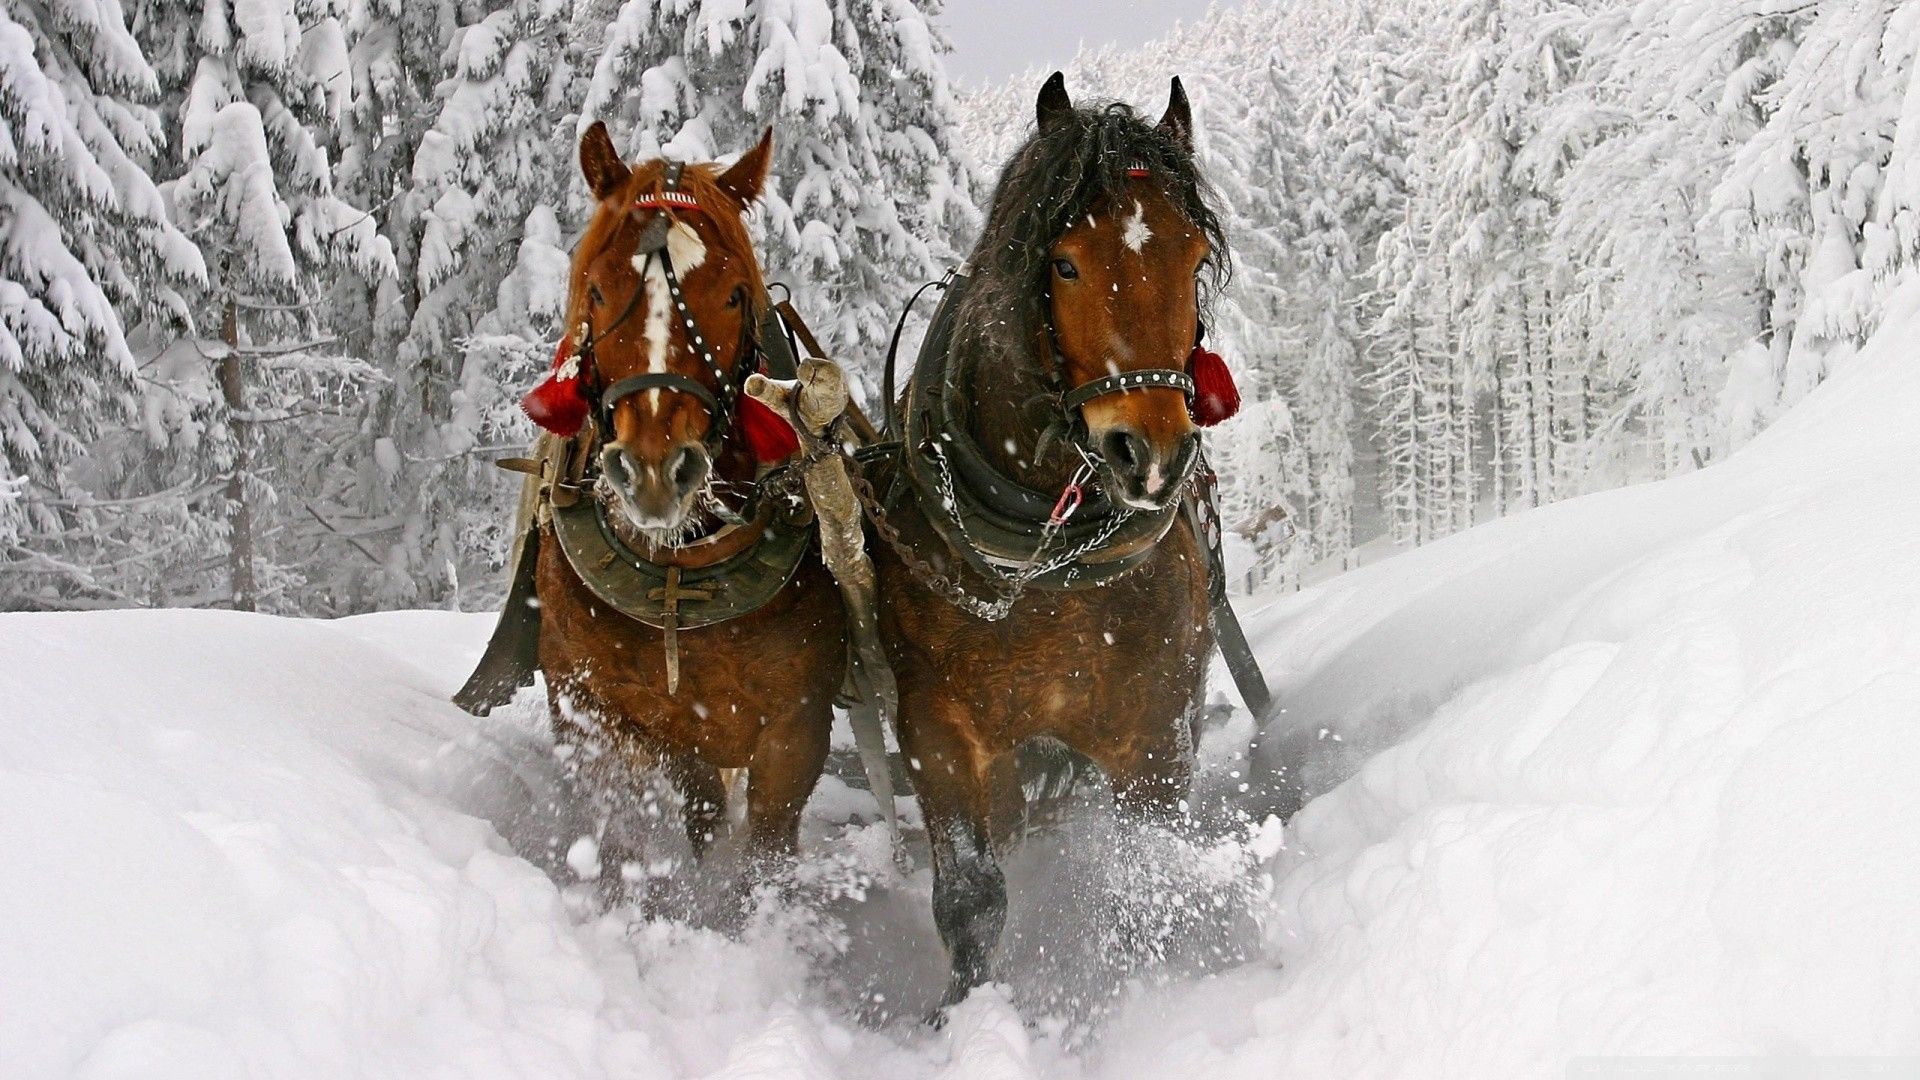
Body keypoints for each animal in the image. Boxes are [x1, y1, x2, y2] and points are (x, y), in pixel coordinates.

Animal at [527, 123, 846, 911]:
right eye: (598, 287)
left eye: (733, 295)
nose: (653, 471)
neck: (681, 570)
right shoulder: (592, 708)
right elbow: (616, 839)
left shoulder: (796, 727)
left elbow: (766, 855)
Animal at [871, 73, 1232, 1011]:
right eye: (1064, 263)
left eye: (1193, 260)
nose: (1152, 454)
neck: (1045, 563)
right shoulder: (937, 731)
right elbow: (971, 898)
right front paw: (962, 1015)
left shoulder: (1155, 731)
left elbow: (1146, 879)